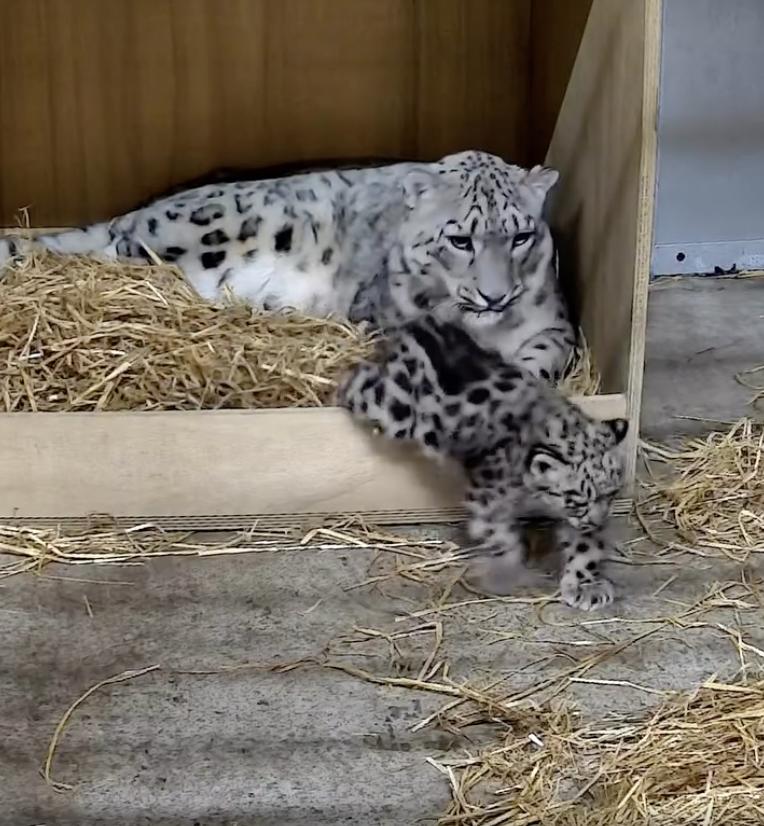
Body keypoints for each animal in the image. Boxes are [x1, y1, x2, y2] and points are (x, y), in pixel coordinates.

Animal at [0, 150, 574, 382]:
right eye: (459, 239)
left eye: (521, 235)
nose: (495, 296)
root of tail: (141, 210)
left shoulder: (557, 325)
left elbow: (545, 353)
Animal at [336, 317, 628, 611]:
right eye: (578, 499)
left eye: (611, 493)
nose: (599, 521)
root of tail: (417, 324)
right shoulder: (489, 497)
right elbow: (501, 538)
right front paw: (506, 574)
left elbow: (585, 548)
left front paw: (585, 585)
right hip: (393, 411)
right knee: (360, 379)